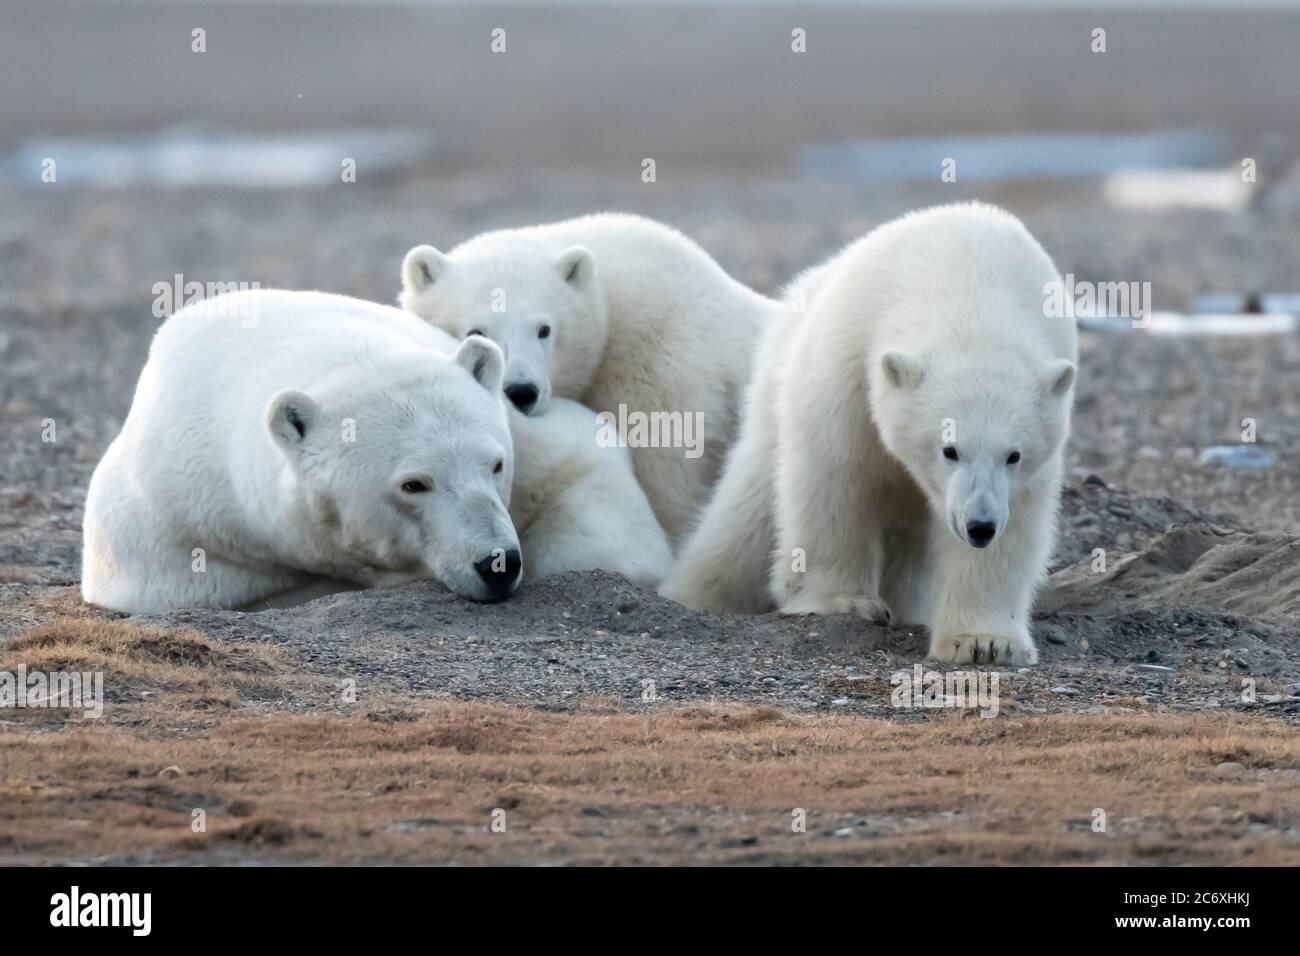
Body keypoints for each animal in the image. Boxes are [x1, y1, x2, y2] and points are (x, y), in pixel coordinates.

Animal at [81, 289, 671, 614]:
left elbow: (589, 474)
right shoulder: (175, 526)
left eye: (496, 464)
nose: (497, 563)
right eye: (414, 484)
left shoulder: (523, 429)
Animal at [661, 203, 1077, 666]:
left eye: (1014, 455)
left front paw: (985, 642)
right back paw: (697, 592)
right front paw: (843, 601)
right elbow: (835, 476)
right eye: (949, 449)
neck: (970, 282)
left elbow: (1017, 523)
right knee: (747, 510)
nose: (980, 526)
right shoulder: (851, 357)